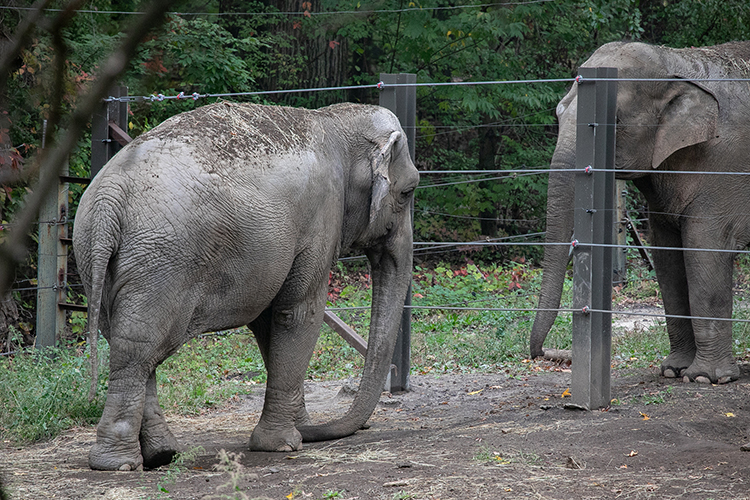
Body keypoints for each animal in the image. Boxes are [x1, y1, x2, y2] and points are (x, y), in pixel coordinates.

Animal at [72, 101, 419, 471]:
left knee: (128, 343)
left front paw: (299, 429)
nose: (363, 425)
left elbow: (268, 323)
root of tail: (109, 199)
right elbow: (298, 314)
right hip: (160, 263)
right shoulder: (320, 219)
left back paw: (162, 454)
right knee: (139, 351)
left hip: (97, 256)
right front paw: (283, 443)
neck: (334, 120)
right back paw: (120, 463)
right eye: (408, 191)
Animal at [531, 41, 750, 384]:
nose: (543, 353)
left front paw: (705, 378)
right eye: (559, 113)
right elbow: (667, 258)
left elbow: (704, 251)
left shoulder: (724, 170)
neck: (678, 61)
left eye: (615, 121)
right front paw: (673, 370)